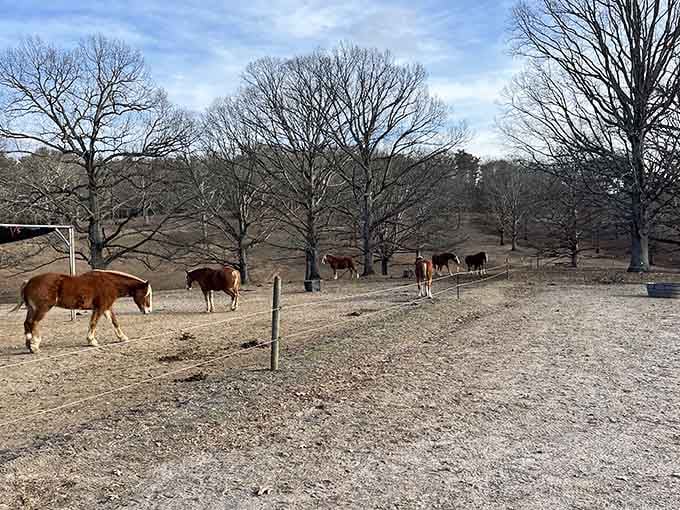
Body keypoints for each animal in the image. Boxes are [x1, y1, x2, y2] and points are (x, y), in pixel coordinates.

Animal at [9, 270, 153, 353]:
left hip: (31, 309)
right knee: (33, 323)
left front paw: (122, 338)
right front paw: (92, 341)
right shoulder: (100, 308)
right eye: (147, 294)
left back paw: (29, 345)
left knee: (27, 324)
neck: (110, 283)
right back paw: (34, 346)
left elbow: (115, 322)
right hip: (42, 309)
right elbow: (93, 323)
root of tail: (29, 282)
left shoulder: (106, 308)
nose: (148, 311)